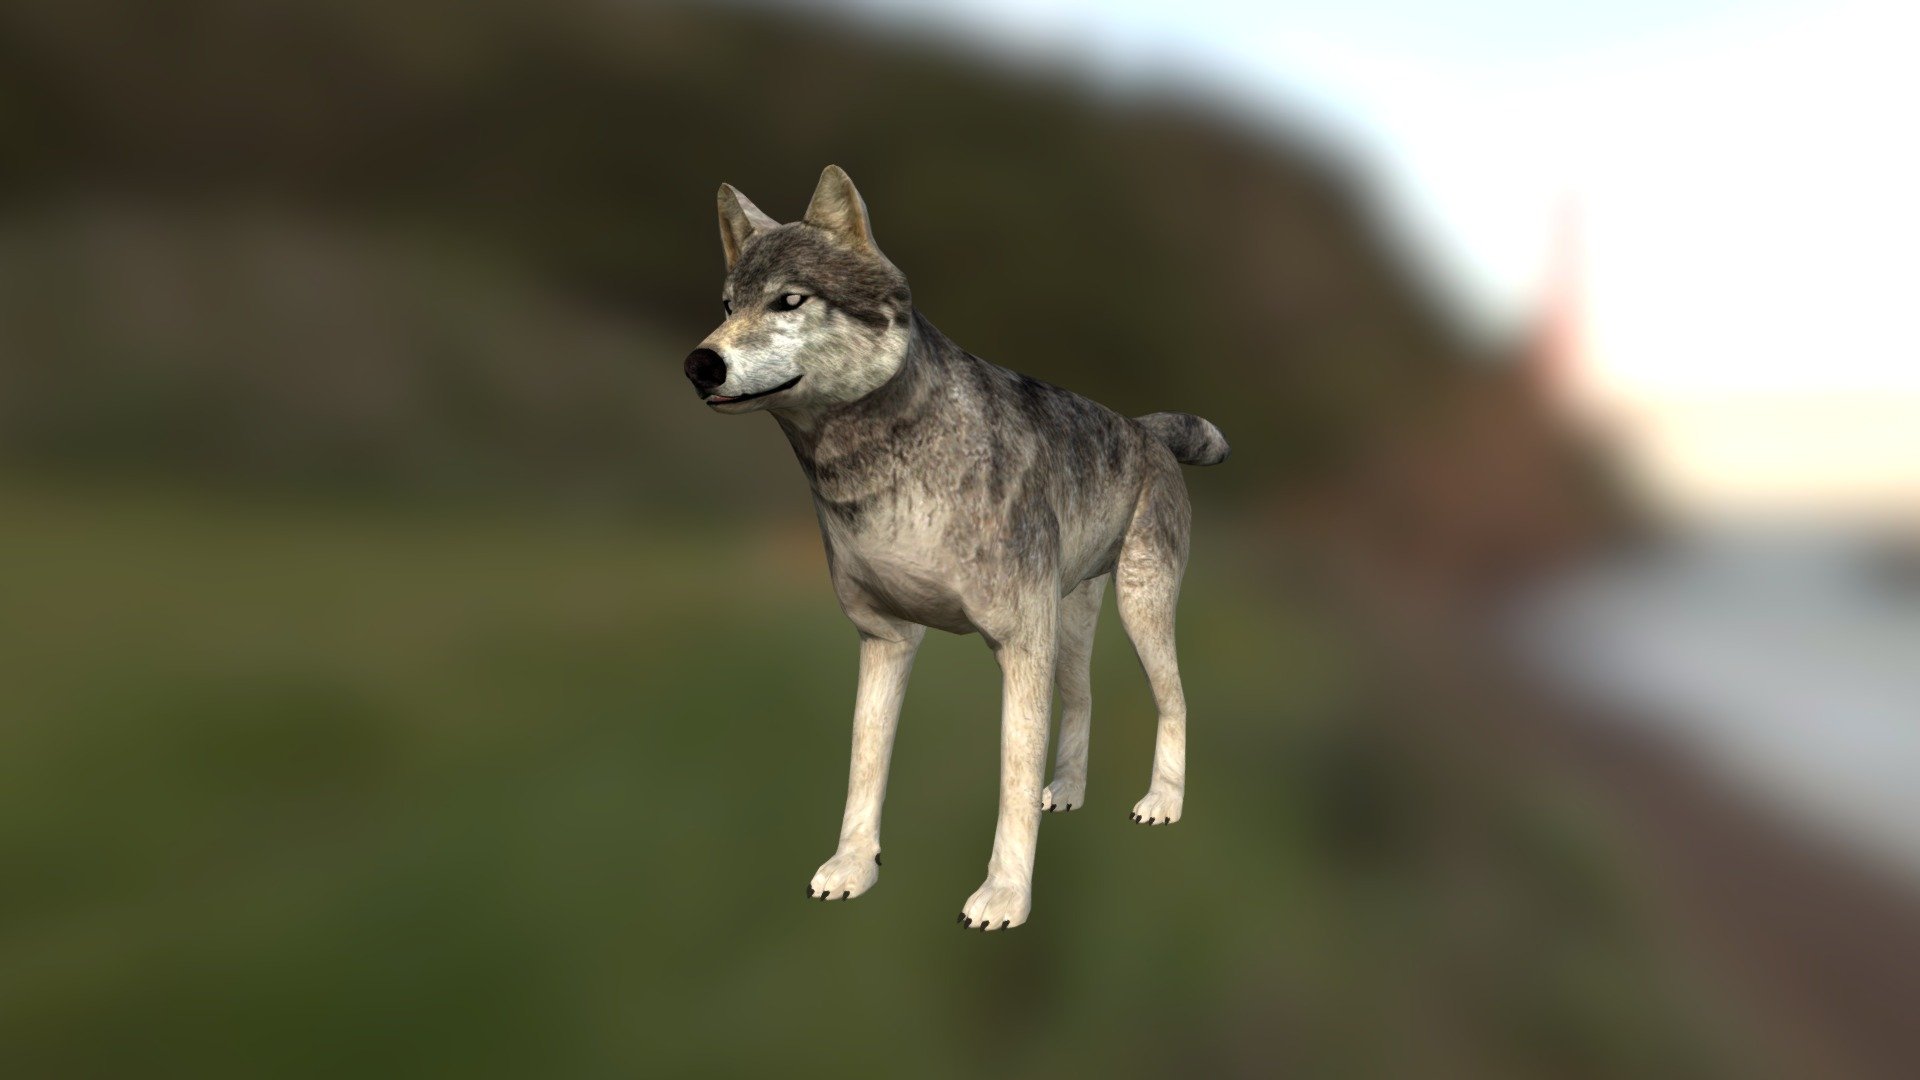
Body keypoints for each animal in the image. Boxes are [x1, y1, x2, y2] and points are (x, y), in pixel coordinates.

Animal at [684, 166, 1229, 931]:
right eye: (728, 305)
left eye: (790, 300)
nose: (699, 363)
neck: (883, 470)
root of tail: (1144, 426)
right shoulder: (885, 640)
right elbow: (864, 767)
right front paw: (852, 869)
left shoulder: (1017, 647)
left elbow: (1009, 784)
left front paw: (1003, 898)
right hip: (1070, 623)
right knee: (1085, 697)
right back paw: (1068, 792)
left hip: (1138, 610)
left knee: (1175, 701)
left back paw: (1163, 805)